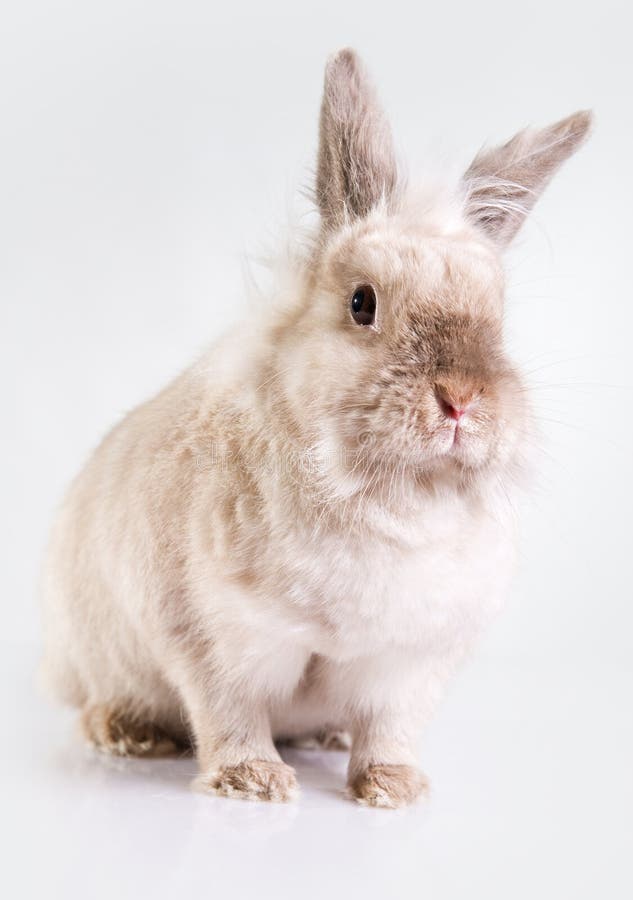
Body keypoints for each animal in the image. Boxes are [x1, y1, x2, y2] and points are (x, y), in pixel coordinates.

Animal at [40, 48, 591, 807]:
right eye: (362, 303)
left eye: (497, 318)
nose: (460, 400)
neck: (388, 497)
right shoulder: (212, 640)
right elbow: (230, 713)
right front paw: (254, 782)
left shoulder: (411, 663)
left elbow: (389, 727)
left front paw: (394, 788)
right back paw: (127, 733)